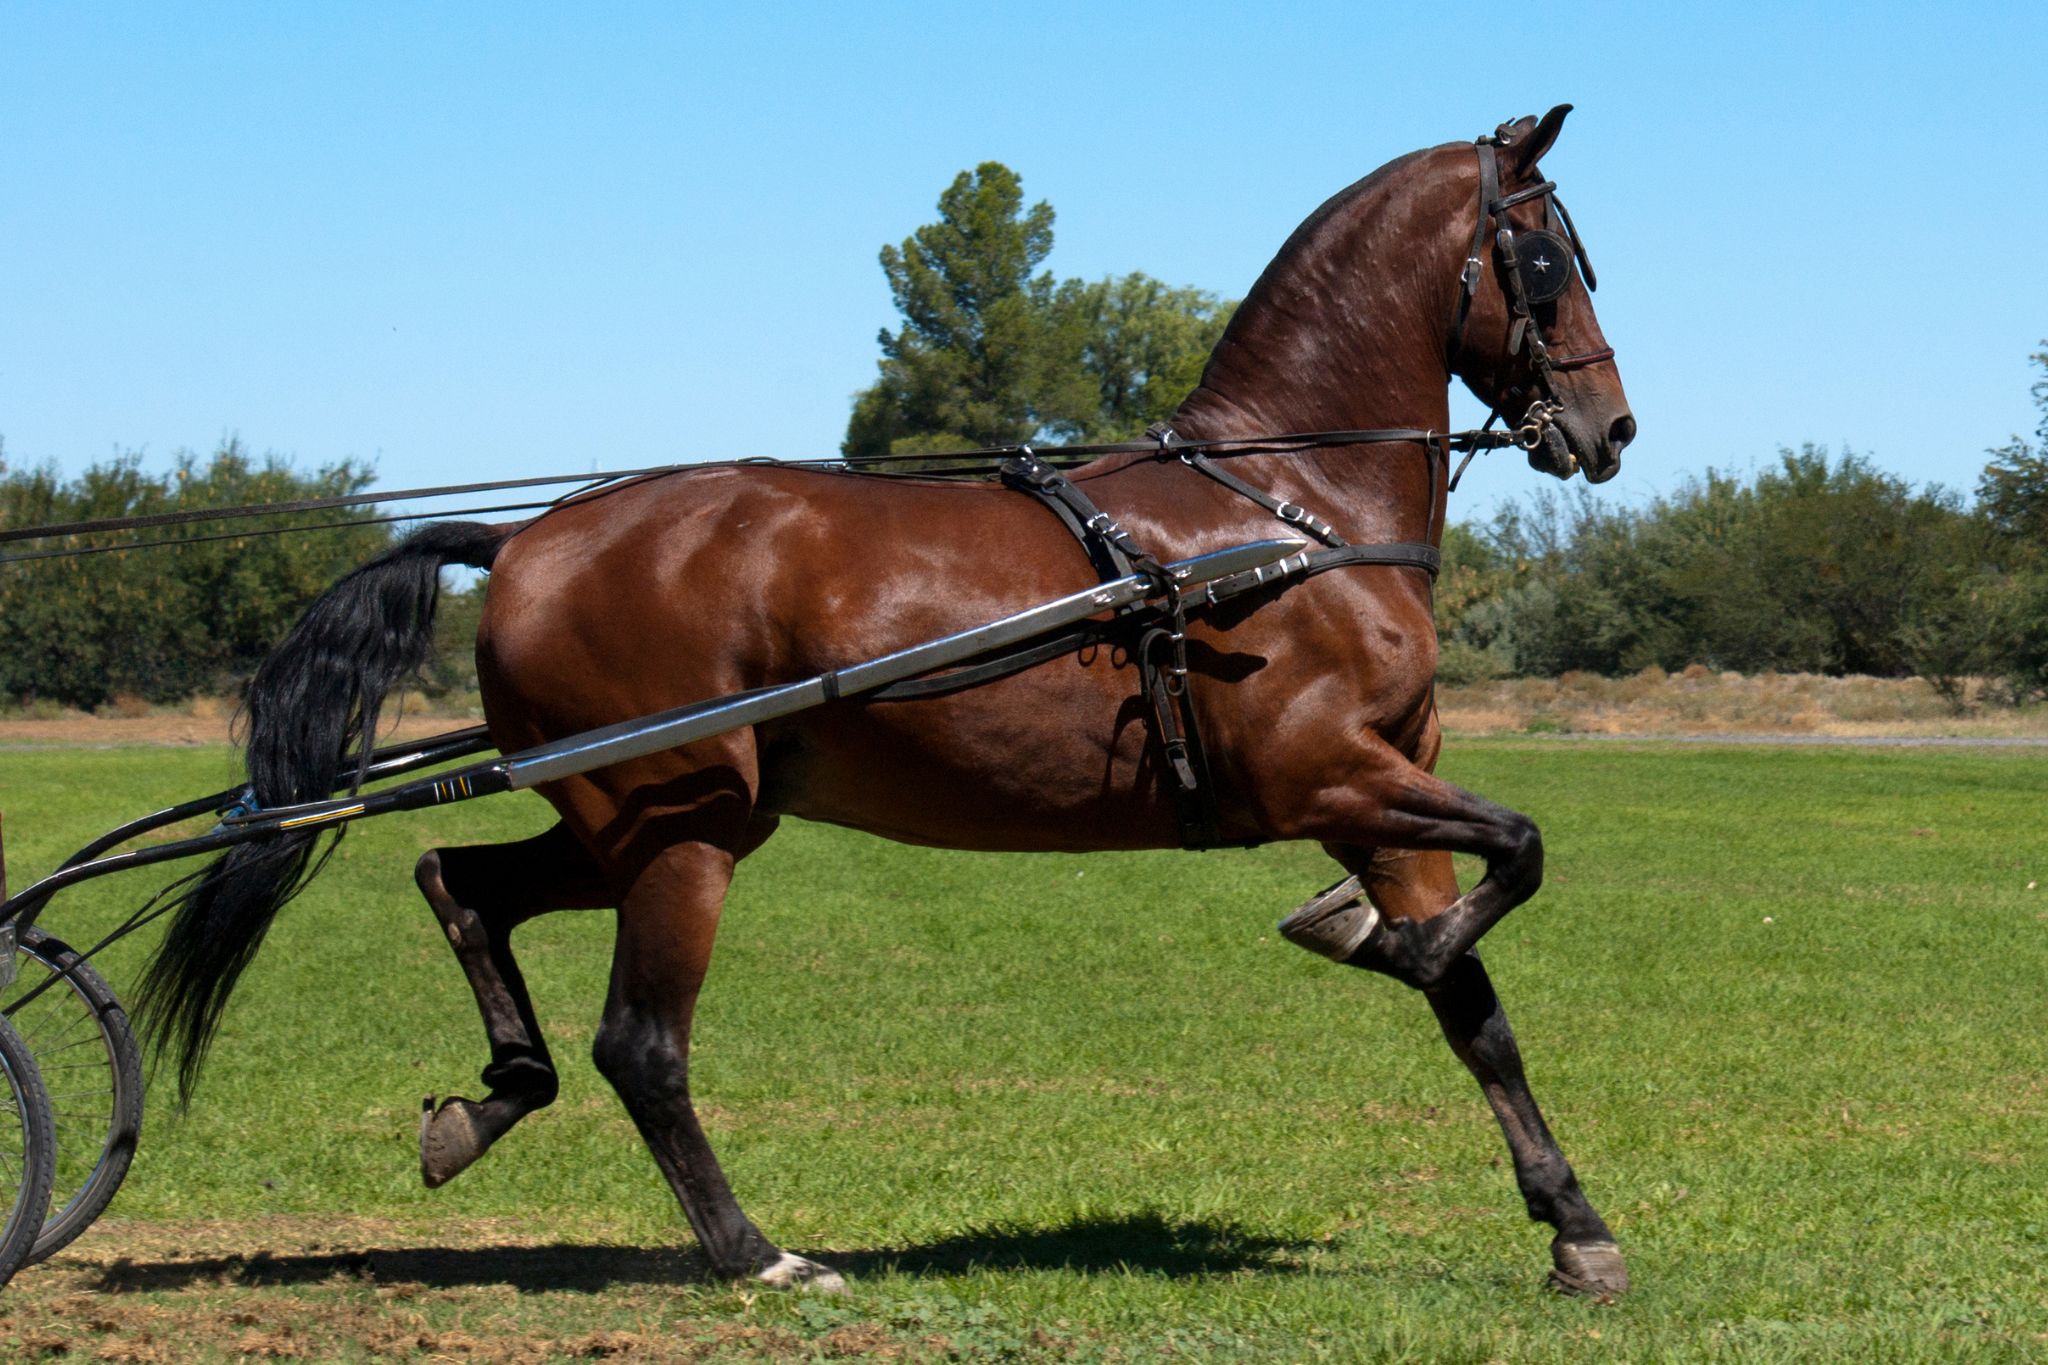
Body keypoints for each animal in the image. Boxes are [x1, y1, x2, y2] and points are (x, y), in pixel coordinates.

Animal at [135, 106, 1636, 1297]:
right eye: (1546, 260)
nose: (1610, 431)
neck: (1280, 513)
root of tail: (524, 542)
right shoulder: (1324, 772)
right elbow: (1511, 869)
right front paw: (1380, 943)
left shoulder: (1379, 796)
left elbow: (1480, 1009)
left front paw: (1573, 1226)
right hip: (680, 833)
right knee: (641, 1046)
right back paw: (756, 1253)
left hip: (644, 821)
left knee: (460, 880)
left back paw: (494, 1098)